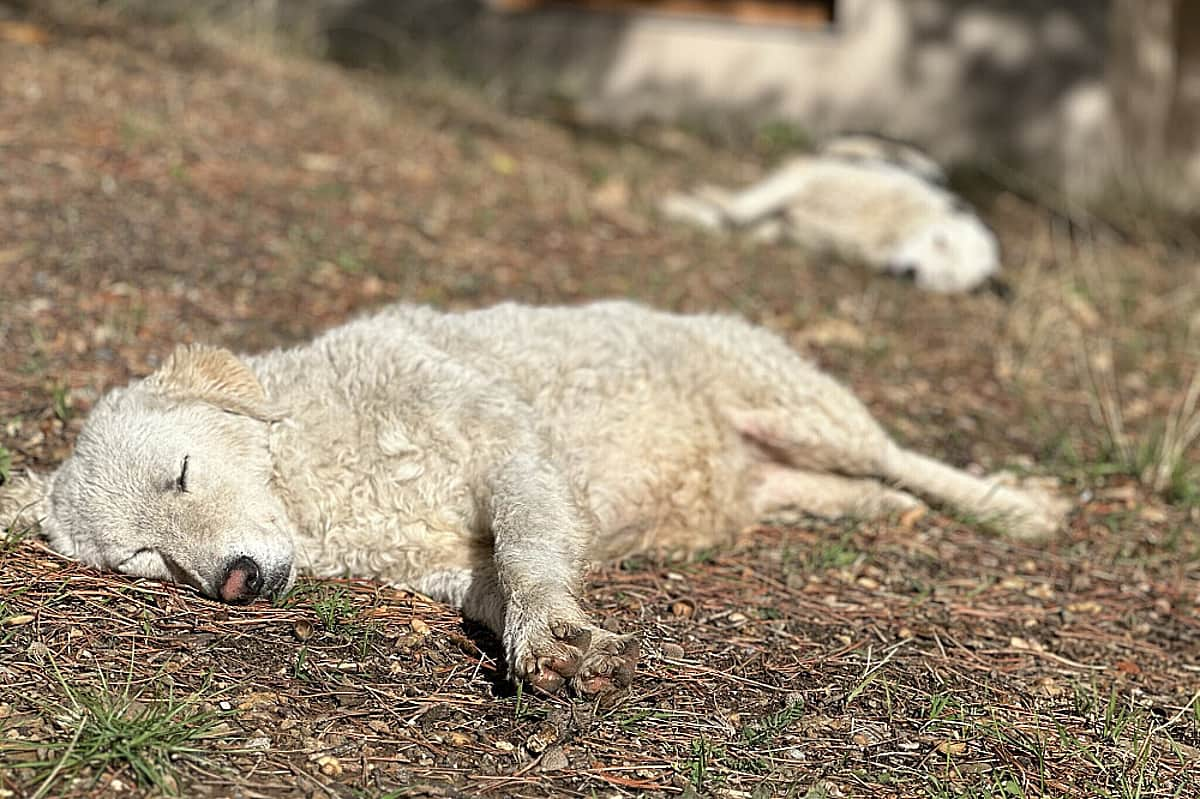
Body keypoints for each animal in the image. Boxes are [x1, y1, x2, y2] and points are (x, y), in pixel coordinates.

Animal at [2, 302, 1070, 695]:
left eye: (182, 471)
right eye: (142, 560)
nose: (231, 582)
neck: (323, 465)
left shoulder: (509, 456)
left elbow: (529, 550)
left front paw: (556, 634)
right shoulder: (448, 566)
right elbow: (499, 586)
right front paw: (531, 639)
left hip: (801, 405)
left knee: (905, 457)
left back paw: (1013, 505)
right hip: (779, 480)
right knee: (856, 490)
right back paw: (886, 512)